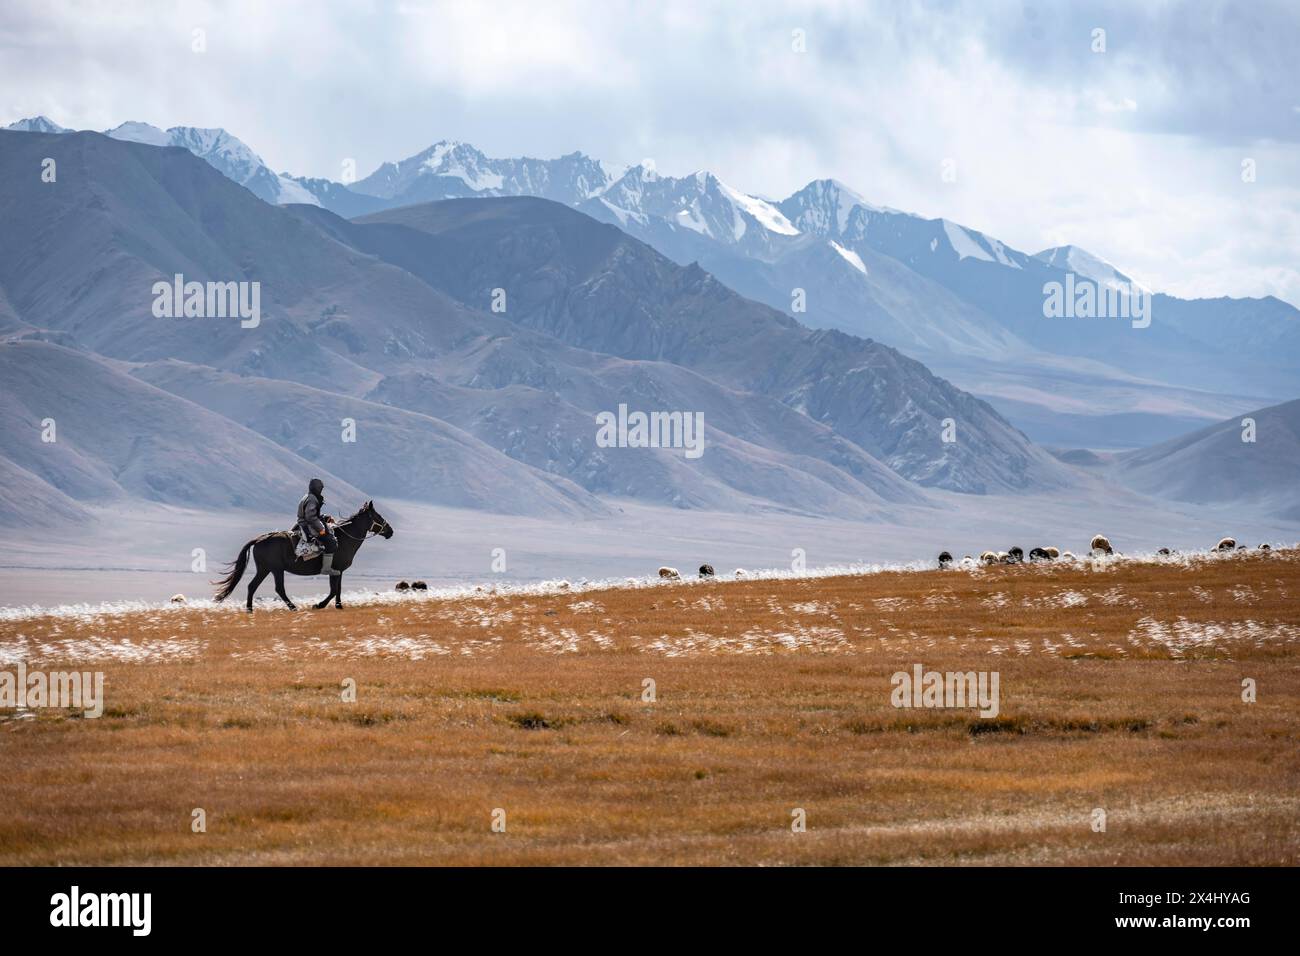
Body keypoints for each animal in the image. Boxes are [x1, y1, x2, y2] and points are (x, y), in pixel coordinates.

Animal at [212, 500, 394, 611]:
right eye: (378, 516)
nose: (390, 531)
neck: (344, 538)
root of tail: (259, 539)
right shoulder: (335, 569)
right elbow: (333, 590)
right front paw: (319, 605)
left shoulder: (339, 571)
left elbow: (337, 589)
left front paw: (339, 605)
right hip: (275, 569)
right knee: (278, 588)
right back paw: (293, 607)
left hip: (265, 569)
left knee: (252, 586)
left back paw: (250, 610)